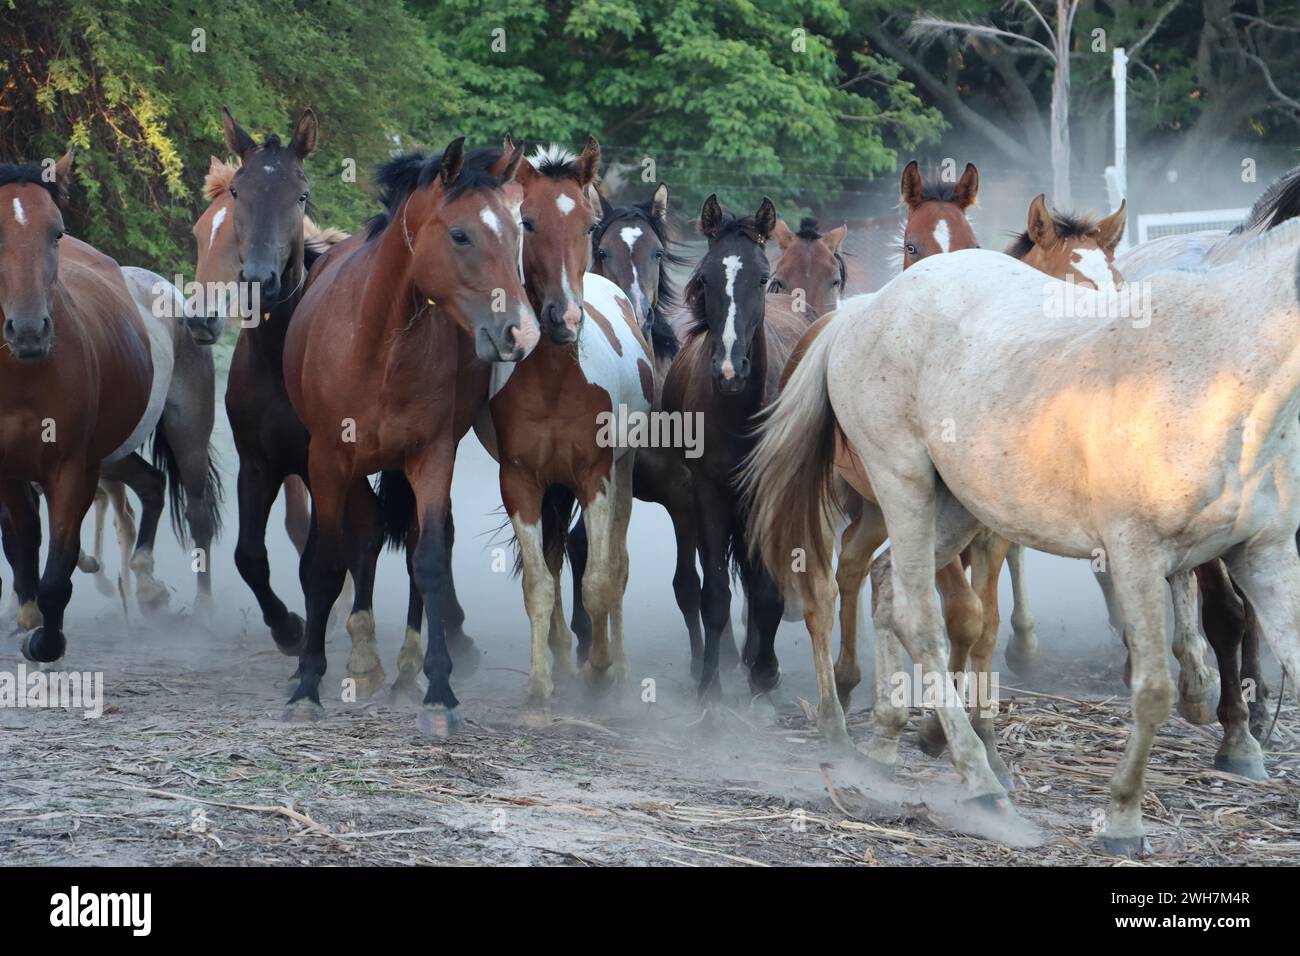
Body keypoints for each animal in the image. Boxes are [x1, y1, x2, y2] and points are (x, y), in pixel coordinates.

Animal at [0, 152, 155, 663]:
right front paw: (27, 617)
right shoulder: (7, 471)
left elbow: (58, 570)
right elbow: (23, 540)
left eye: (56, 231)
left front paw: (45, 641)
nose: (29, 330)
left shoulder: (74, 467)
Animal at [283, 137, 537, 736]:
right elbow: (325, 563)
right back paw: (359, 662)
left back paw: (401, 670)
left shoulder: (431, 457)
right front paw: (307, 685)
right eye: (460, 234)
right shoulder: (328, 459)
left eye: (517, 232)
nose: (521, 332)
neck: (380, 345)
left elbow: (430, 561)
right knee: (365, 535)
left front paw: (439, 692)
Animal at [471, 140, 653, 722]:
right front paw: (540, 684)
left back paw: (618, 669)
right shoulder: (521, 482)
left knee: (618, 564)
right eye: (526, 222)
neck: (555, 381)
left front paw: (600, 670)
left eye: (589, 226)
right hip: (553, 489)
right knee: (553, 560)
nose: (564, 318)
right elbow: (539, 583)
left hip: (622, 472)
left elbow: (598, 579)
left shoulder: (597, 476)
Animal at [745, 209, 1300, 856]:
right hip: (903, 486)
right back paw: (979, 781)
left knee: (885, 586)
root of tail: (862, 310)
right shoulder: (1135, 556)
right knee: (915, 614)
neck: (1219, 375)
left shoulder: (1263, 556)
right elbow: (1152, 689)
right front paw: (1123, 821)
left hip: (957, 505)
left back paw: (886, 742)